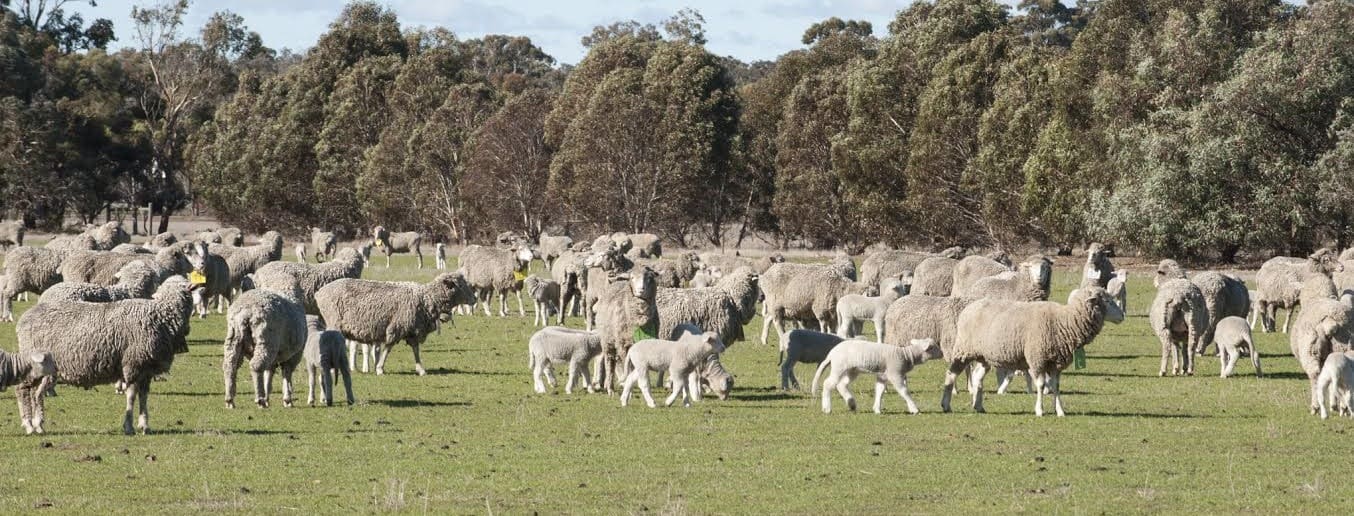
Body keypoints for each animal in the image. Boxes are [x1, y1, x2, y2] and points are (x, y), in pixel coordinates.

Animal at [15, 277, 192, 434]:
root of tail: (24, 319)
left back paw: (38, 424)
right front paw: (129, 426)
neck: (161, 316)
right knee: (22, 389)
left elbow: (143, 397)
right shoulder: (133, 365)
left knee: (36, 393)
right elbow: (131, 396)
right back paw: (28, 424)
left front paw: (144, 425)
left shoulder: (146, 370)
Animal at [315, 272, 469, 376]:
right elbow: (388, 348)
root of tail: (320, 292)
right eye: (460, 285)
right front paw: (380, 369)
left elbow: (415, 350)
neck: (426, 298)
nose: (473, 299)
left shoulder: (412, 329)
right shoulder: (397, 327)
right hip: (333, 322)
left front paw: (420, 369)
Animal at [812, 338, 941, 414]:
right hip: (838, 367)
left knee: (841, 385)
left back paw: (851, 403)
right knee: (828, 384)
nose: (942, 353)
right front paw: (914, 409)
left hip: (852, 370)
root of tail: (831, 353)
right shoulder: (895, 373)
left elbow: (880, 390)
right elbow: (904, 391)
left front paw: (877, 409)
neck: (906, 355)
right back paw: (827, 408)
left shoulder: (883, 375)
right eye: (933, 347)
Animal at [942, 287, 1124, 417]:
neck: (1064, 322)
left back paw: (978, 406)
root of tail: (969, 307)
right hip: (963, 350)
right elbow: (1041, 385)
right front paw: (1040, 410)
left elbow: (1056, 386)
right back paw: (945, 405)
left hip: (984, 356)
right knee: (951, 374)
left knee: (977, 376)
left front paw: (1060, 411)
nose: (1122, 316)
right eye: (1107, 300)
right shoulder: (1038, 359)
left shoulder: (1055, 363)